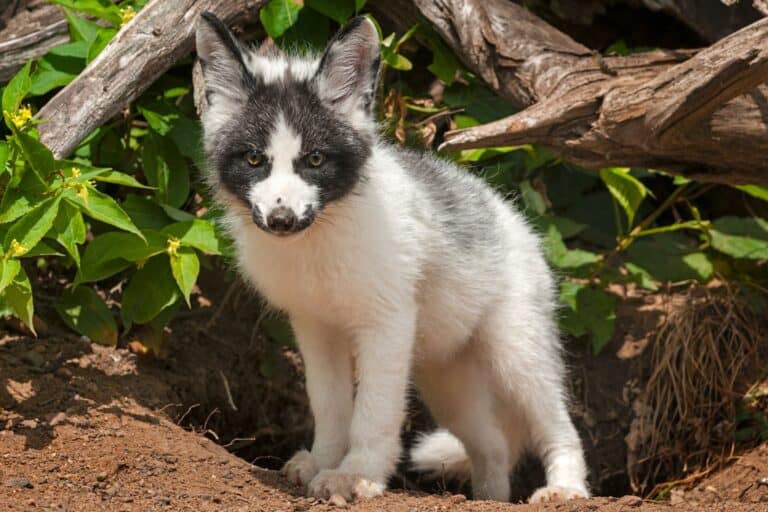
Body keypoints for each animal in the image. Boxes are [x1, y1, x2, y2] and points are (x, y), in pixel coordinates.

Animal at [195, 12, 589, 504]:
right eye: (253, 160)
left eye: (315, 160)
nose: (282, 220)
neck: (319, 242)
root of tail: (510, 215)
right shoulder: (315, 328)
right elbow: (329, 405)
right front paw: (324, 463)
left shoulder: (386, 323)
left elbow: (374, 413)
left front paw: (355, 476)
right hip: (445, 379)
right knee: (495, 446)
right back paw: (488, 499)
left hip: (517, 353)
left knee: (560, 426)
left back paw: (566, 489)